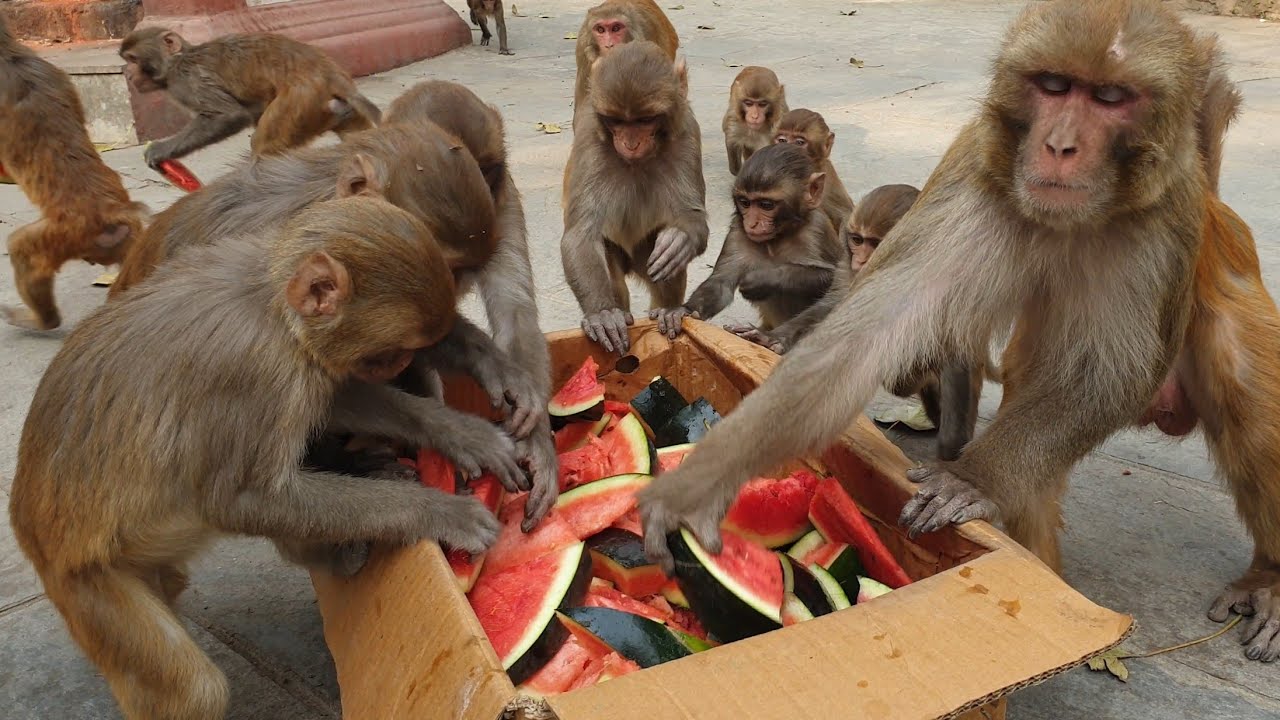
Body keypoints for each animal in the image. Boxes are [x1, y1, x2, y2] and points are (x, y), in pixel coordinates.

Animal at [8, 189, 503, 720]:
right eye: (389, 355)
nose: (406, 369)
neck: (272, 306)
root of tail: (29, 536)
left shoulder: (298, 365)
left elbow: (333, 397)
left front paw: (461, 433)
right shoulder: (252, 373)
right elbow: (244, 501)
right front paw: (443, 512)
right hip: (86, 586)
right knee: (194, 689)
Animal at [118, 28, 381, 169]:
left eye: (133, 59)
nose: (127, 73)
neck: (177, 60)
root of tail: (329, 72)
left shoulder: (185, 80)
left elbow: (229, 115)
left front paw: (160, 150)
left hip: (301, 98)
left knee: (263, 145)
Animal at [562, 40, 709, 355]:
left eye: (645, 120)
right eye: (616, 121)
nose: (630, 143)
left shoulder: (688, 132)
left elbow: (691, 218)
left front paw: (681, 238)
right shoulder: (589, 140)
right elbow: (581, 234)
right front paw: (603, 314)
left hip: (644, 257)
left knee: (663, 254)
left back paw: (668, 311)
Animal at [650, 143, 840, 339]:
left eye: (766, 205)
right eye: (745, 202)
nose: (752, 223)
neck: (778, 236)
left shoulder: (817, 231)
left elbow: (833, 281)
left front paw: (765, 279)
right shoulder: (737, 231)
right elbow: (721, 285)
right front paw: (682, 310)